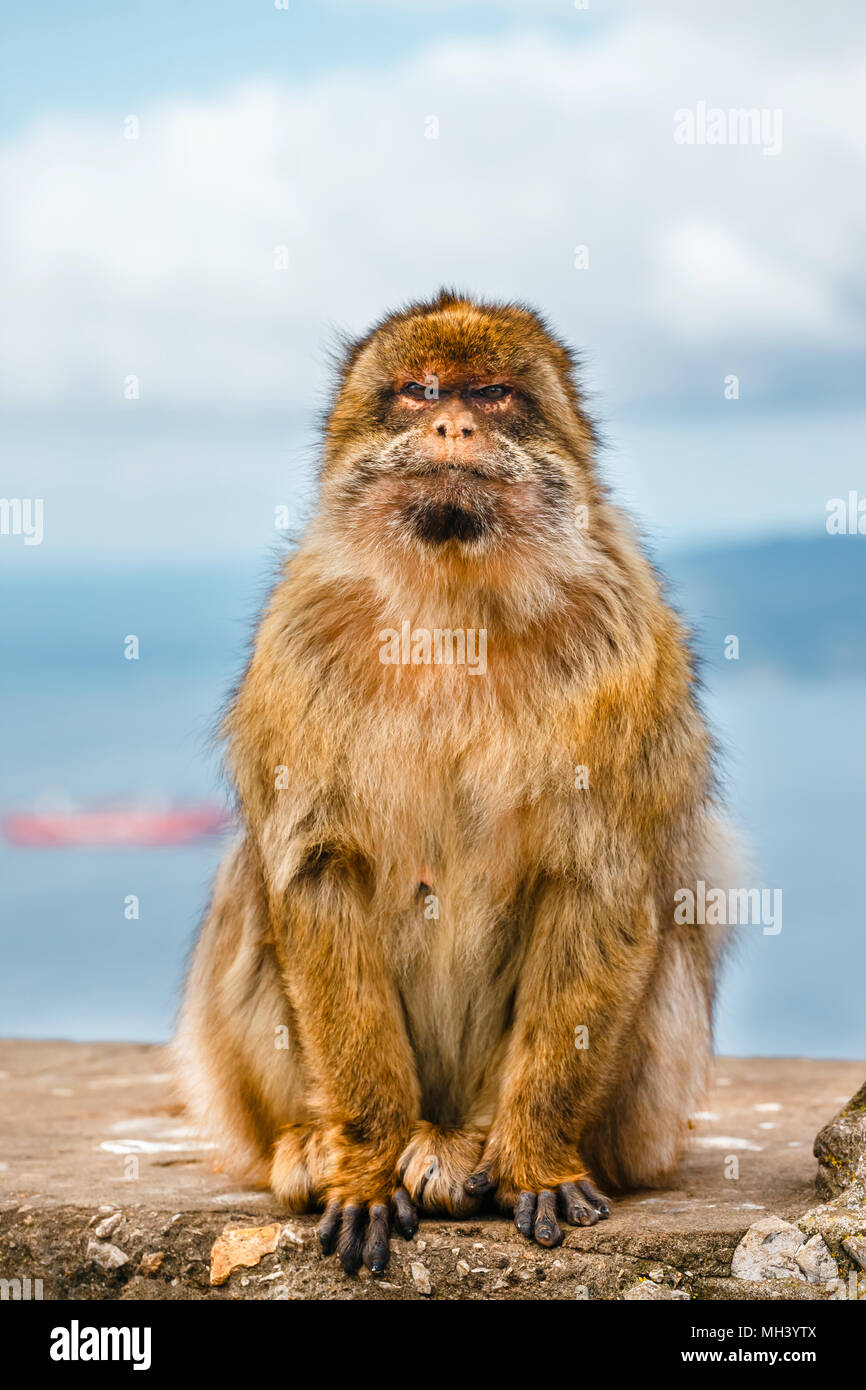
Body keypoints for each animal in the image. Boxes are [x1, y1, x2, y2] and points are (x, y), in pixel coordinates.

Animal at [174, 289, 736, 1276]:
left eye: (493, 393)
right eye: (419, 390)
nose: (453, 424)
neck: (449, 593)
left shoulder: (625, 641)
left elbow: (602, 883)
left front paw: (537, 1157)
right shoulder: (298, 635)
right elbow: (315, 873)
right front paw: (364, 1165)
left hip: (642, 1126)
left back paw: (472, 1147)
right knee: (252, 882)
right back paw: (325, 1144)